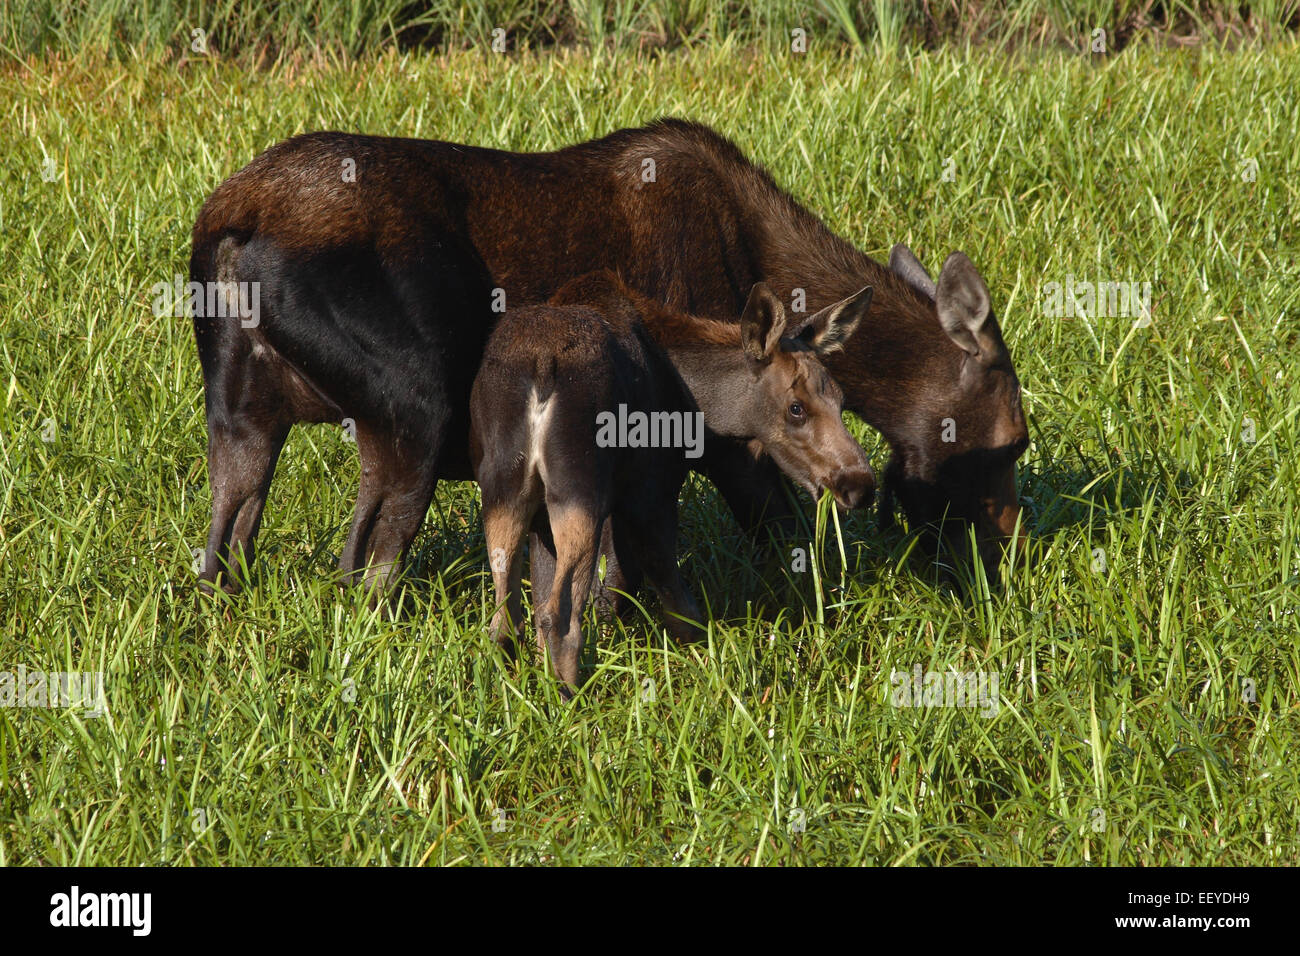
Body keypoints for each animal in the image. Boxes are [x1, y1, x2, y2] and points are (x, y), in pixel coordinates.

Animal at [470, 270, 873, 691]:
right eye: (796, 408)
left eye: (842, 401)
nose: (859, 484)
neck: (699, 406)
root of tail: (541, 367)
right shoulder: (652, 491)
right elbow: (679, 608)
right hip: (578, 489)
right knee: (559, 615)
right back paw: (573, 696)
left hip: (505, 489)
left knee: (505, 618)